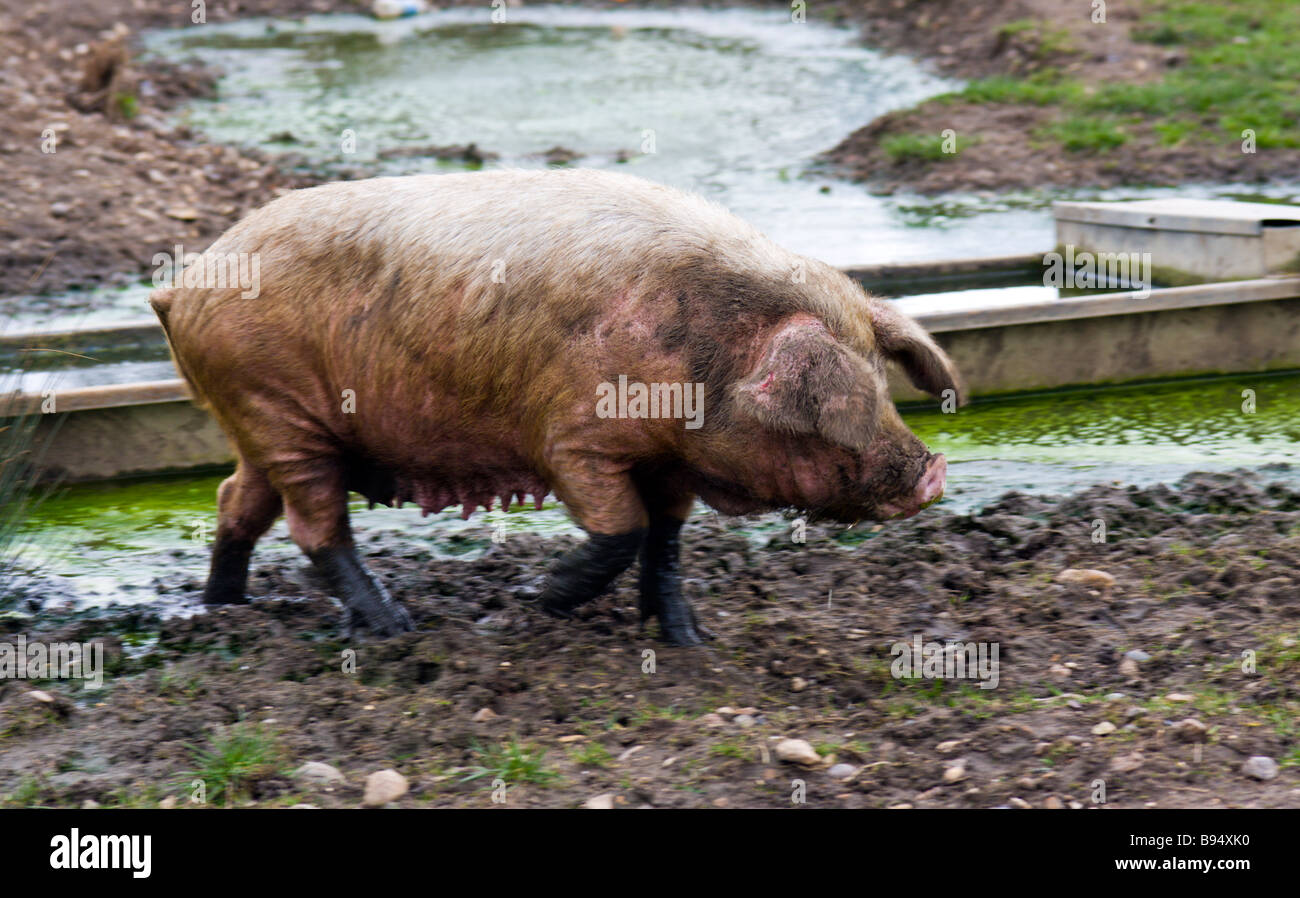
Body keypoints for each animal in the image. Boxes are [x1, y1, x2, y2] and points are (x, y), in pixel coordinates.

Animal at [150, 169, 962, 645]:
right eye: (838, 404)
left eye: (883, 384)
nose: (932, 471)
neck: (703, 358)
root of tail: (182, 287)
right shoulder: (575, 441)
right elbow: (621, 530)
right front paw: (530, 598)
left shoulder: (671, 461)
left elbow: (665, 539)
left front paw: (690, 639)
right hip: (278, 409)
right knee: (313, 525)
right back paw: (395, 628)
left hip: (263, 424)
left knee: (236, 501)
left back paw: (222, 609)